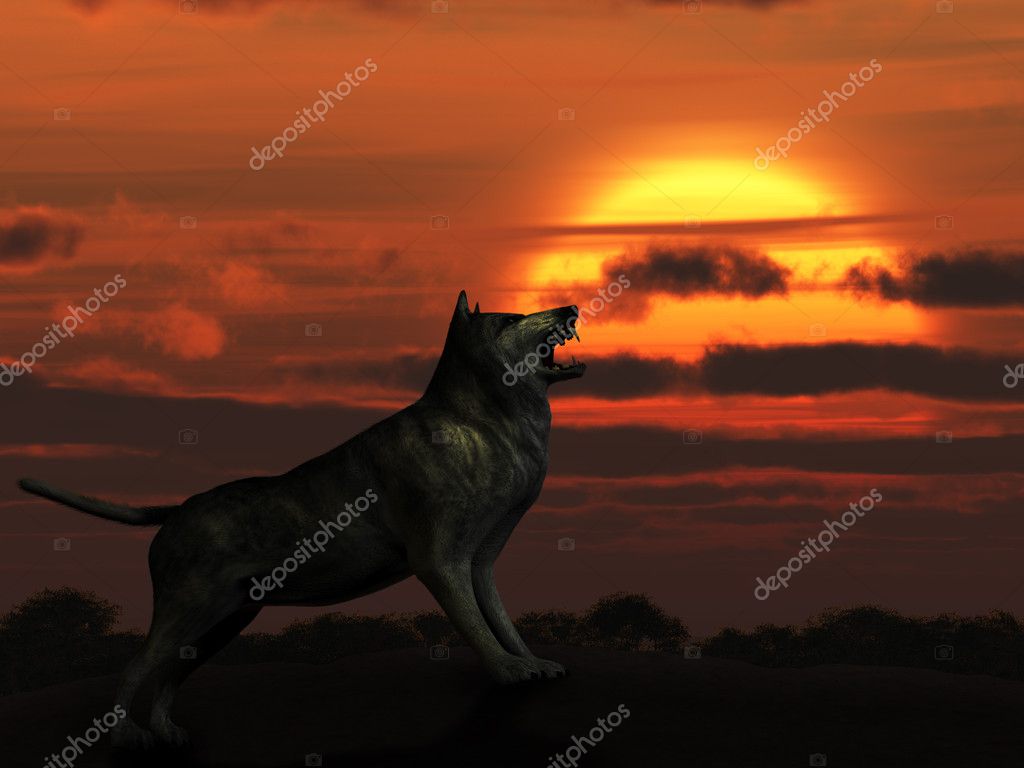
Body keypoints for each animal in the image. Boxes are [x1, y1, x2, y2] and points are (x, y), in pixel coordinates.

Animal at [18, 291, 585, 750]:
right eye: (511, 319)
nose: (572, 306)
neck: (489, 420)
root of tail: (177, 508)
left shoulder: (481, 560)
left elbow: (502, 618)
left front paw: (533, 662)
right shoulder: (439, 561)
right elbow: (476, 625)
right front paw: (509, 672)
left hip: (221, 623)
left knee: (167, 677)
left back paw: (167, 732)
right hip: (187, 609)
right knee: (137, 666)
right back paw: (125, 736)